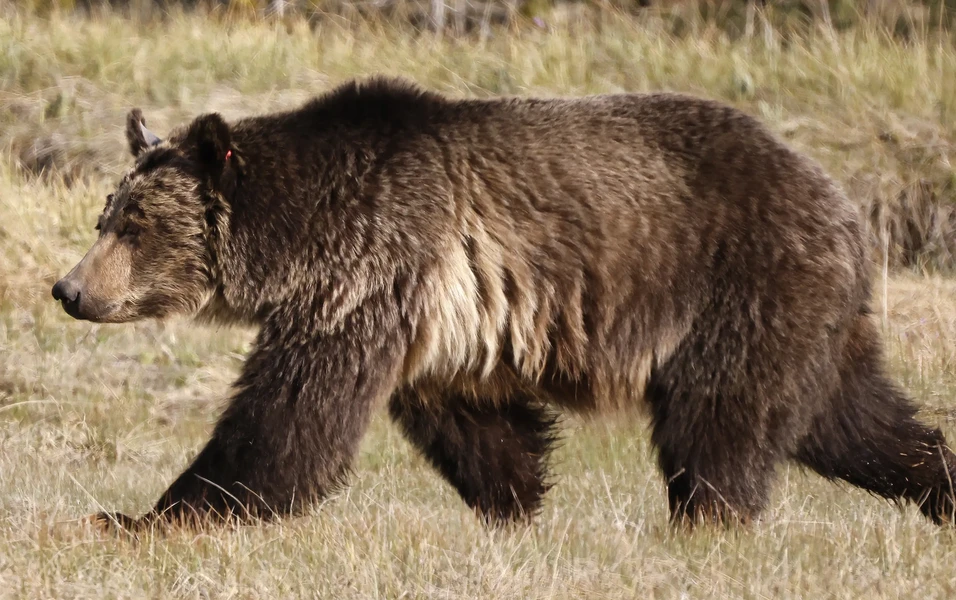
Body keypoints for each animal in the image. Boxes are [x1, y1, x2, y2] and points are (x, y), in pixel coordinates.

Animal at [52, 76, 956, 532]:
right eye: (105, 214)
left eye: (133, 223)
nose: (70, 289)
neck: (297, 237)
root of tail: (844, 205)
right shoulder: (435, 318)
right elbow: (478, 425)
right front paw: (515, 508)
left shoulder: (372, 270)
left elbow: (289, 417)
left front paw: (142, 516)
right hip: (813, 316)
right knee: (853, 421)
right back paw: (938, 490)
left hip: (741, 283)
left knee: (723, 423)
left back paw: (705, 523)